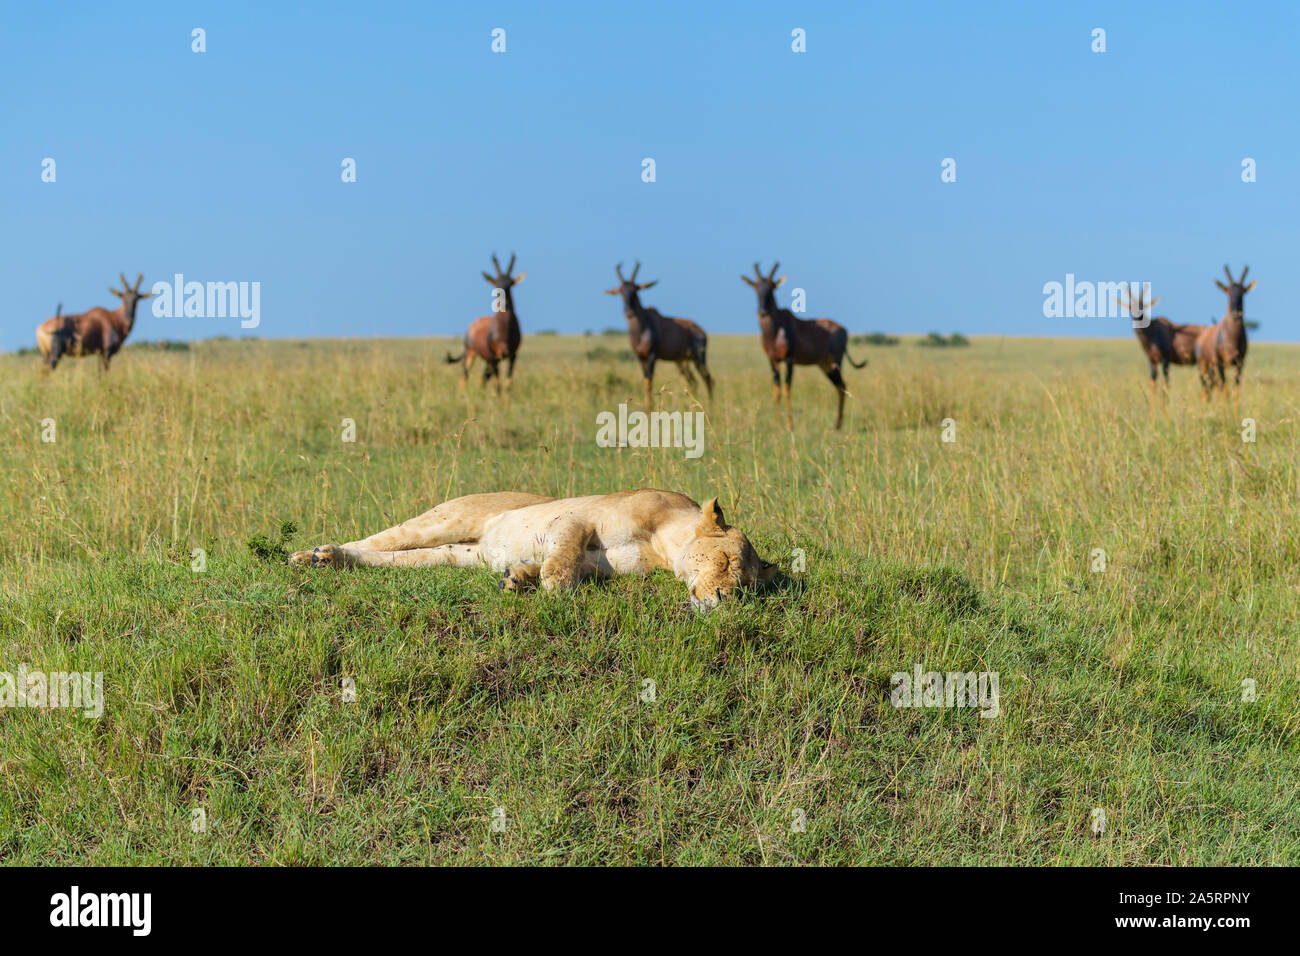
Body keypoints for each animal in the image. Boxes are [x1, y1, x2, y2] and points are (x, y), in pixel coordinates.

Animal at [446, 253, 525, 392]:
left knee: (482, 379)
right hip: (470, 353)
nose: (503, 301)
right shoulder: (494, 357)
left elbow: (508, 384)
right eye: (496, 282)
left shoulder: (512, 356)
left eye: (511, 283)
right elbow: (498, 386)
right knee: (464, 378)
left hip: (488, 360)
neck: (503, 333)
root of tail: (471, 326)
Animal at [603, 261, 713, 406]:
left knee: (708, 379)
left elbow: (649, 383)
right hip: (682, 362)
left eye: (635, 291)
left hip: (698, 358)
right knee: (693, 382)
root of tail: (701, 332)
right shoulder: (640, 357)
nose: (629, 313)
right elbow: (646, 382)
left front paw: (649, 409)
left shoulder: (652, 356)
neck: (643, 326)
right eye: (621, 292)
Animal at [741, 262, 866, 429]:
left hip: (835, 362)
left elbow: (787, 388)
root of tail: (843, 329)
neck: (776, 329)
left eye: (772, 287)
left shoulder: (789, 360)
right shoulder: (772, 360)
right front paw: (776, 424)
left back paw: (838, 424)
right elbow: (776, 390)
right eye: (755, 287)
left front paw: (790, 425)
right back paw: (837, 424)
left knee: (842, 385)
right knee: (840, 386)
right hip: (824, 365)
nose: (762, 312)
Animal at [1195, 264, 1255, 400]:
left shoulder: (1240, 363)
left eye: (1243, 292)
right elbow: (1224, 388)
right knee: (1205, 387)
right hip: (1204, 364)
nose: (1236, 314)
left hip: (1213, 367)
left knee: (1212, 385)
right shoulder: (1221, 363)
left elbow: (1236, 387)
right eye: (1228, 291)